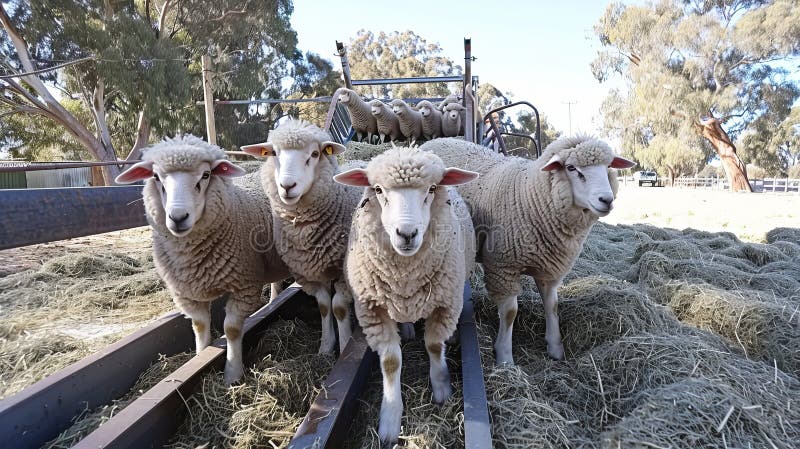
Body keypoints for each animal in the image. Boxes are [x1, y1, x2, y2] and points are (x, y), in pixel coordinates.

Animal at [115, 135, 290, 384]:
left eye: (206, 175)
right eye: (156, 177)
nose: (178, 217)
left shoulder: (244, 287)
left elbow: (231, 330)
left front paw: (232, 375)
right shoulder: (186, 293)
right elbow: (199, 325)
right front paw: (199, 359)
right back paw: (273, 301)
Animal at [240, 119, 360, 355]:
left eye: (314, 154)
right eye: (273, 153)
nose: (287, 186)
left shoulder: (344, 273)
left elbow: (338, 307)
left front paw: (344, 346)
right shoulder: (310, 273)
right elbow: (324, 307)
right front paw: (325, 347)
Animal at [334, 147, 479, 445]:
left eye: (432, 188)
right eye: (378, 189)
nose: (407, 234)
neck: (405, 275)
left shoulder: (446, 304)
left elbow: (434, 345)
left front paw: (442, 387)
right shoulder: (373, 311)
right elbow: (391, 363)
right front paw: (389, 420)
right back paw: (409, 329)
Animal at [421, 136, 635, 365]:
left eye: (608, 166)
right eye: (571, 168)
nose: (607, 200)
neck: (530, 195)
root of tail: (435, 140)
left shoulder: (549, 267)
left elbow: (552, 305)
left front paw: (555, 348)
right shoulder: (502, 266)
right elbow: (510, 312)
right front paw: (505, 357)